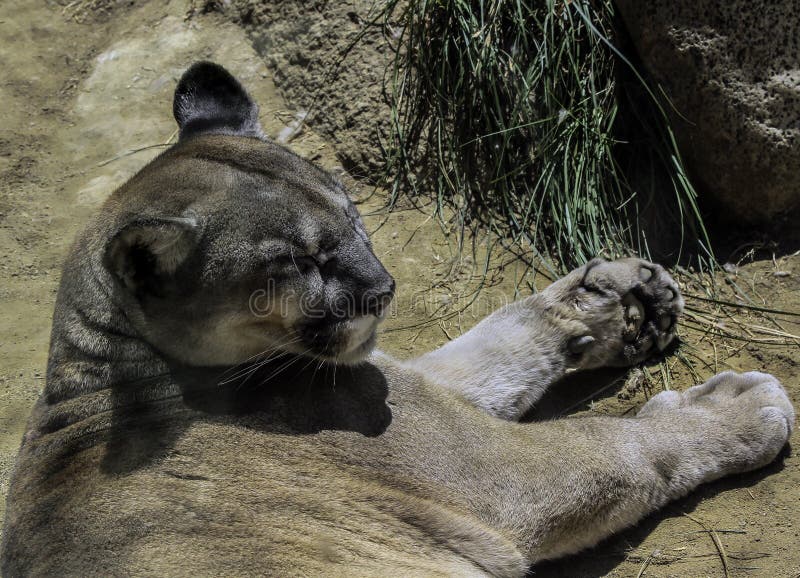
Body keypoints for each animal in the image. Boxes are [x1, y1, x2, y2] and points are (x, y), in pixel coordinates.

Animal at [1, 62, 794, 576]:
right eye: (295, 263)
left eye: (351, 209)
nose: (381, 288)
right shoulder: (487, 474)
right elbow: (615, 446)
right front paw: (736, 407)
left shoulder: (390, 381)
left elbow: (498, 342)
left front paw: (619, 298)